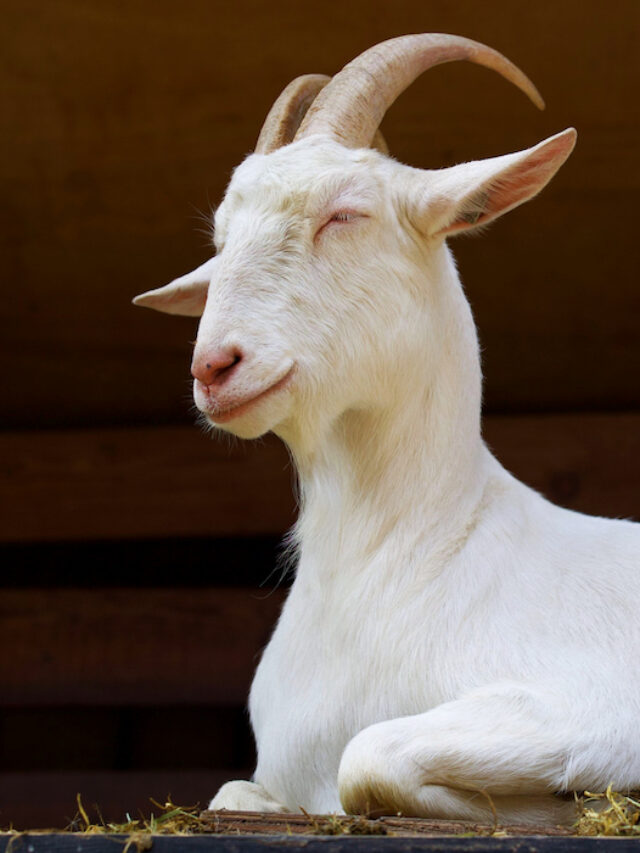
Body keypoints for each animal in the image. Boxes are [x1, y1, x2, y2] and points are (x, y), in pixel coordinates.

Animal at [134, 34, 640, 825]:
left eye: (345, 214)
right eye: (220, 239)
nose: (214, 366)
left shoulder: (596, 704)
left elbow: (366, 756)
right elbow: (232, 790)